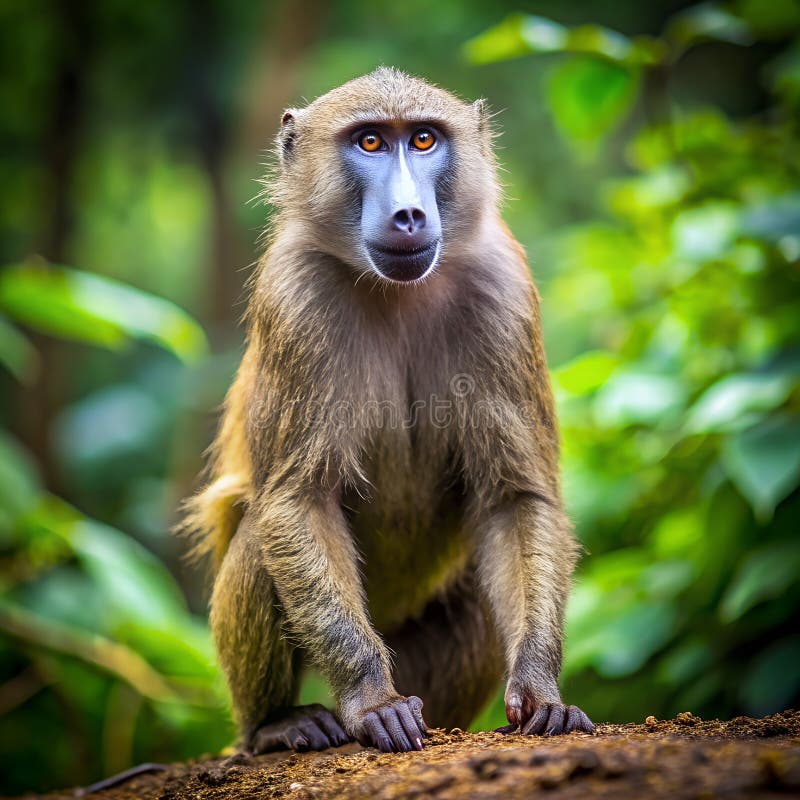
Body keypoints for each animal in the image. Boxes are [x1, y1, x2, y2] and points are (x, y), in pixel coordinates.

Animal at [182, 67, 595, 754]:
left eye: (424, 140)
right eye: (370, 142)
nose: (408, 214)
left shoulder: (504, 290)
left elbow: (517, 500)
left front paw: (540, 688)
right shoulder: (294, 295)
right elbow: (297, 501)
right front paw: (372, 699)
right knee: (258, 542)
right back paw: (276, 723)